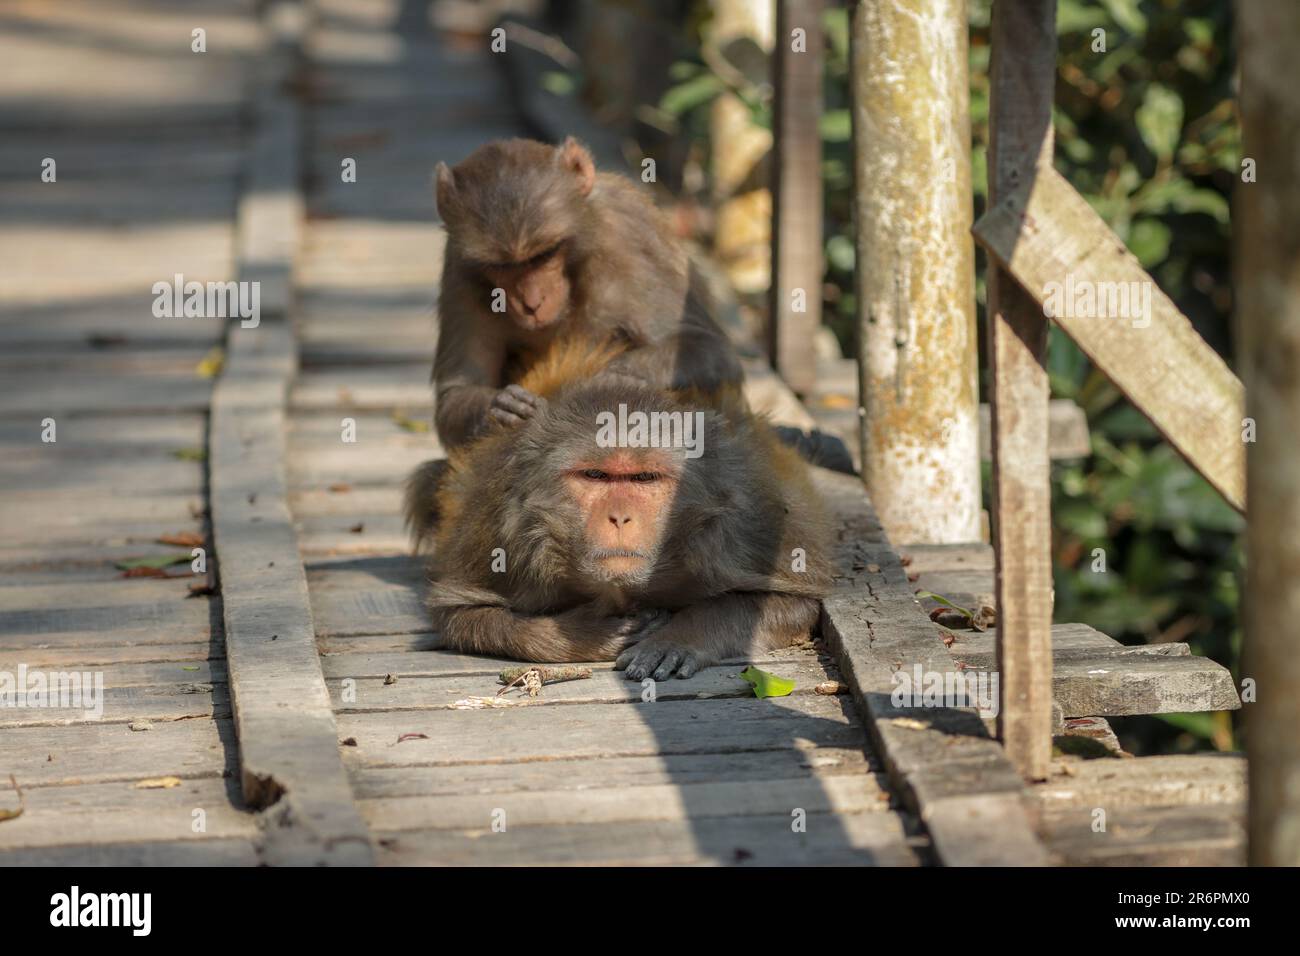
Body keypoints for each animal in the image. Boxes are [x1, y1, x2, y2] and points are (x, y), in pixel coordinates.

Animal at [403, 338, 832, 681]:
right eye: (596, 475)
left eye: (644, 478)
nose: (620, 517)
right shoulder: (498, 544)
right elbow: (459, 616)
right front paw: (587, 635)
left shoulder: (749, 531)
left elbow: (792, 604)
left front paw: (679, 638)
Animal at [431, 137, 744, 450]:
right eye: (501, 266)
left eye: (544, 255)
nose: (532, 303)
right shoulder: (458, 270)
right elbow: (455, 392)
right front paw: (500, 406)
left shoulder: (632, 230)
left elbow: (708, 347)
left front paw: (611, 380)